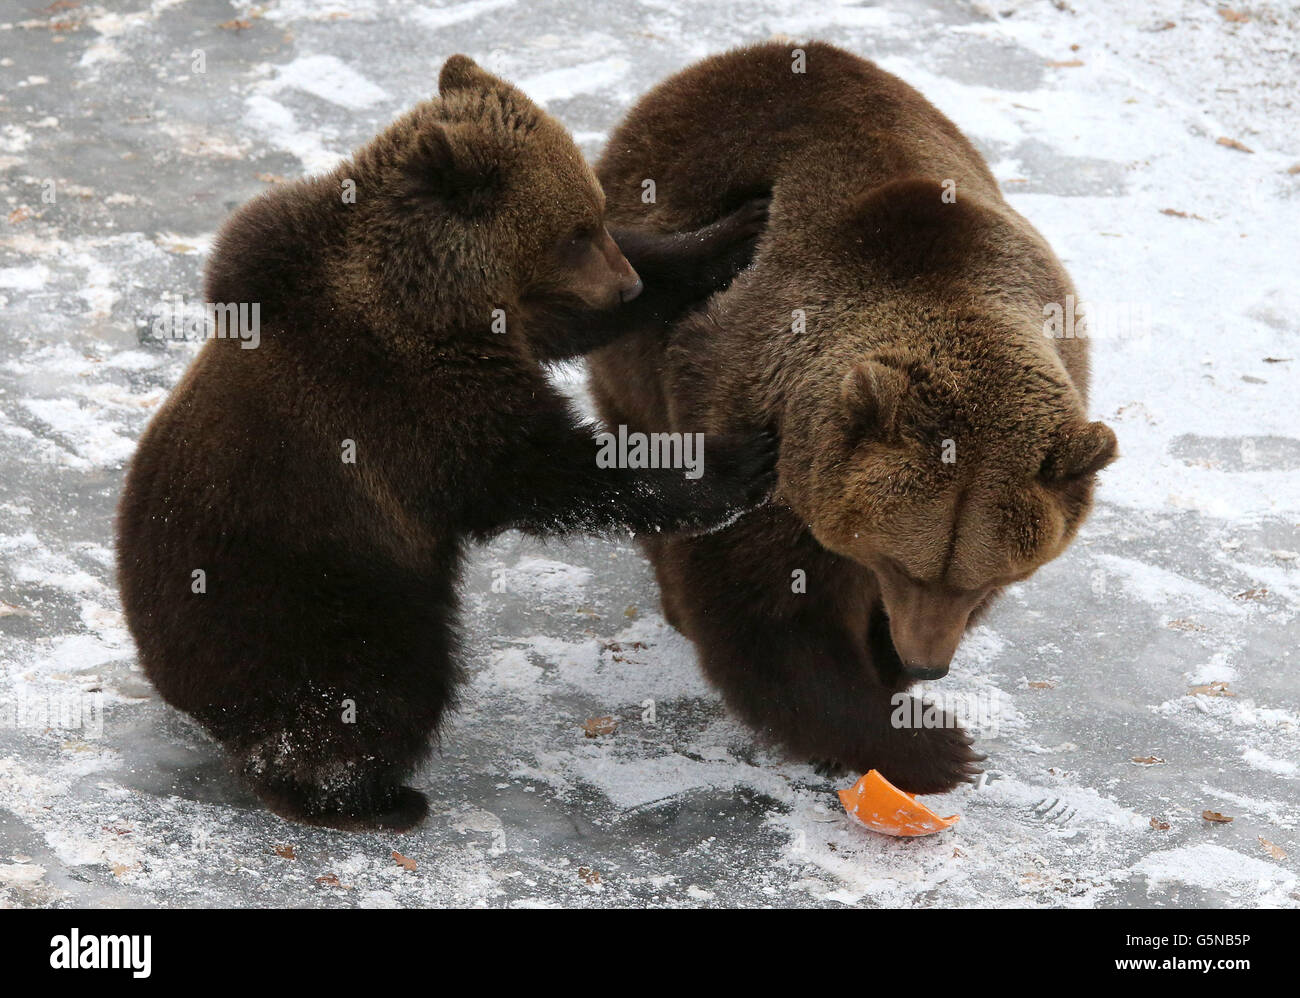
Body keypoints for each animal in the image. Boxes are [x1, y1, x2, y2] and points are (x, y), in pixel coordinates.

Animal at [116, 55, 777, 832]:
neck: (431, 296)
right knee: (368, 691)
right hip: (316, 596)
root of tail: (175, 682)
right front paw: (738, 460)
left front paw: (740, 227)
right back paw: (365, 795)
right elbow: (544, 471)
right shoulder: (407, 399)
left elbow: (572, 326)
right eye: (575, 231)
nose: (625, 285)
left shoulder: (509, 322)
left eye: (595, 216)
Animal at [588, 41, 1118, 793]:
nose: (927, 661)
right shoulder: (759, 423)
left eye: (984, 578)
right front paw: (931, 744)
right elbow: (766, 610)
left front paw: (898, 683)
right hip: (634, 339)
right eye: (901, 563)